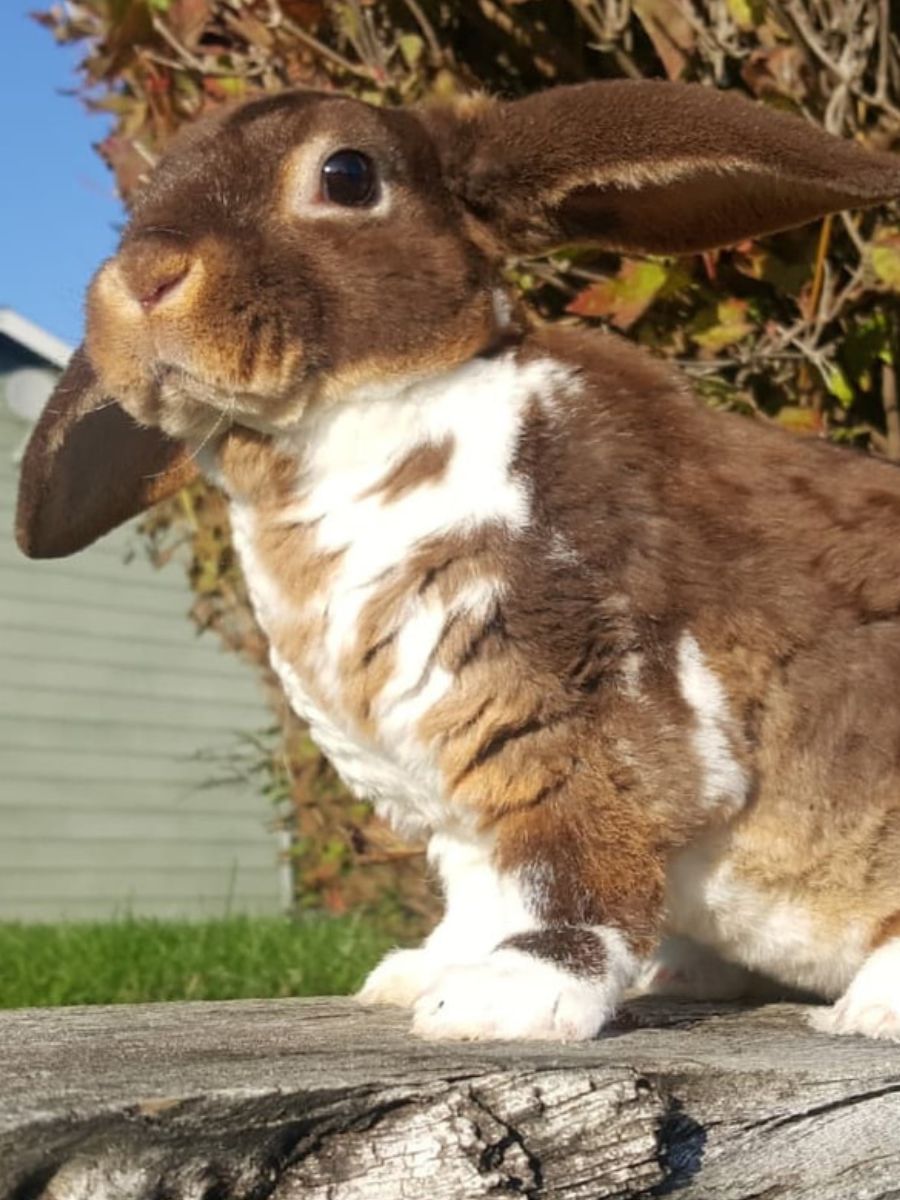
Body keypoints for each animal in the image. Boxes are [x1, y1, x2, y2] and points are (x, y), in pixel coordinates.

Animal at [16, 80, 900, 1042]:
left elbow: (571, 874)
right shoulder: (458, 796)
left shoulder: (584, 726)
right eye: (145, 193)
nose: (144, 277)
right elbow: (481, 892)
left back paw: (870, 1004)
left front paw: (502, 997)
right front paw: (421, 974)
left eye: (347, 173)